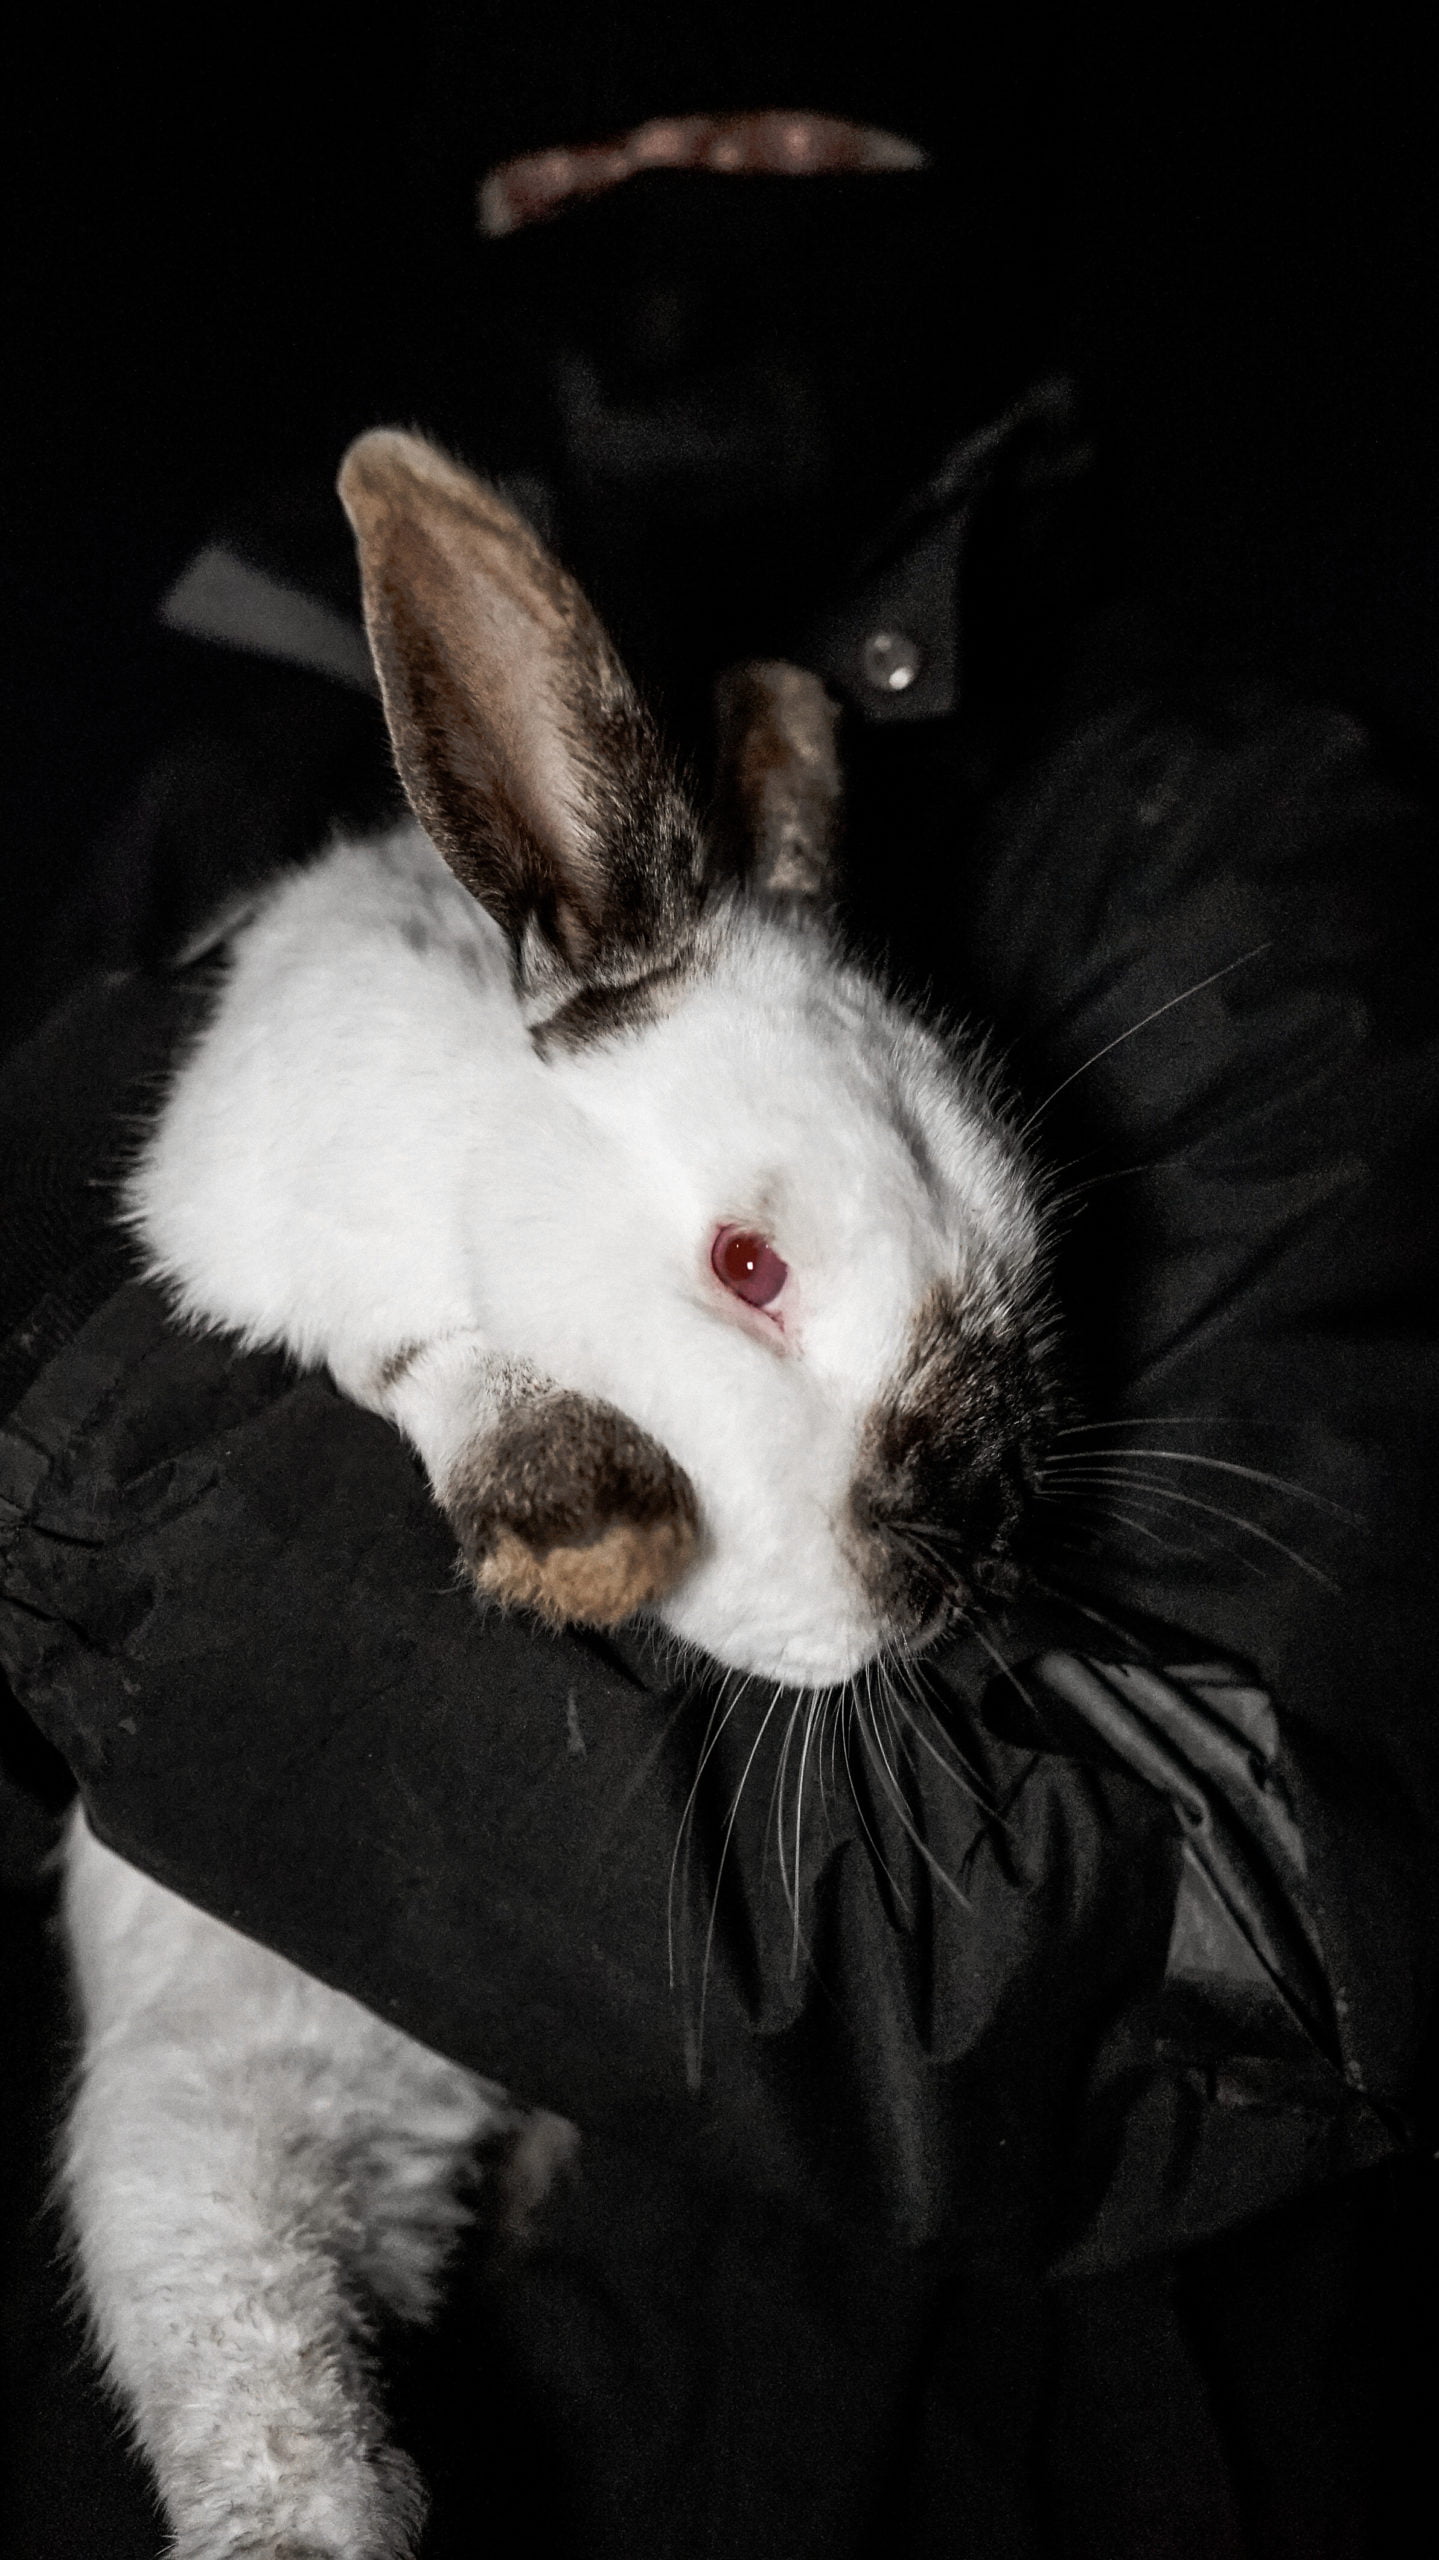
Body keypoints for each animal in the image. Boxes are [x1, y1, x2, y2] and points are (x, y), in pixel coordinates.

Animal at [60, 429, 1059, 2558]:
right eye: (748, 1268)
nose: (957, 1550)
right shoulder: (252, 1223)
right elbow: (406, 1360)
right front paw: (580, 1517)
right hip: (201, 2151)